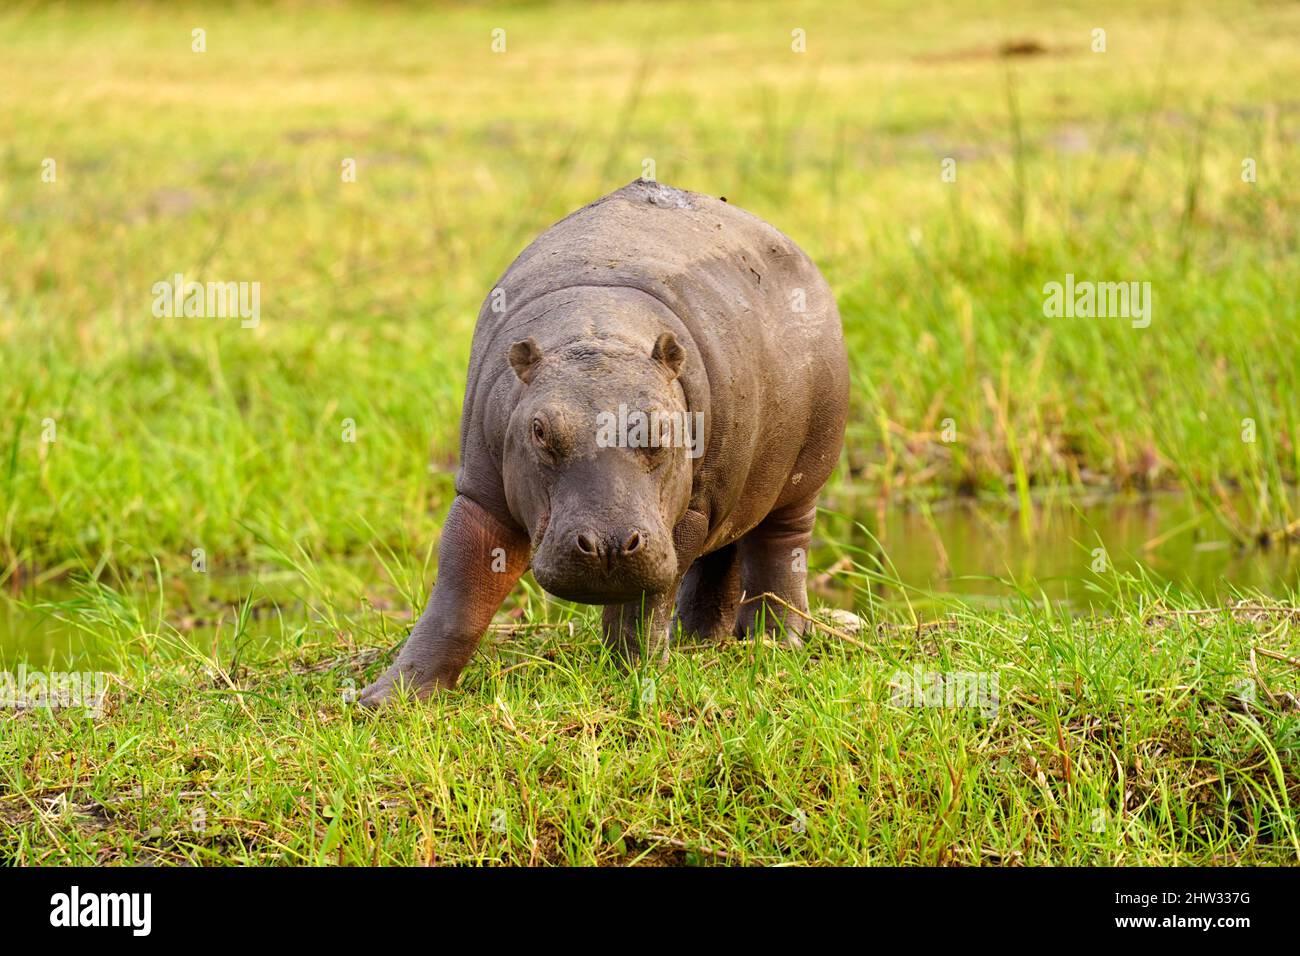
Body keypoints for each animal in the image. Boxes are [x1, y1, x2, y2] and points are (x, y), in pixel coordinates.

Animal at [360, 180, 849, 707]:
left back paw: (777, 641)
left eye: (661, 429)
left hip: (801, 477)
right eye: (539, 430)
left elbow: (643, 602)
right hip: (731, 487)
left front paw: (635, 677)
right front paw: (386, 699)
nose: (609, 543)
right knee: (722, 556)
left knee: (780, 547)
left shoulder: (687, 512)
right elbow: (458, 593)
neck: (597, 332)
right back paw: (696, 640)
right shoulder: (481, 493)